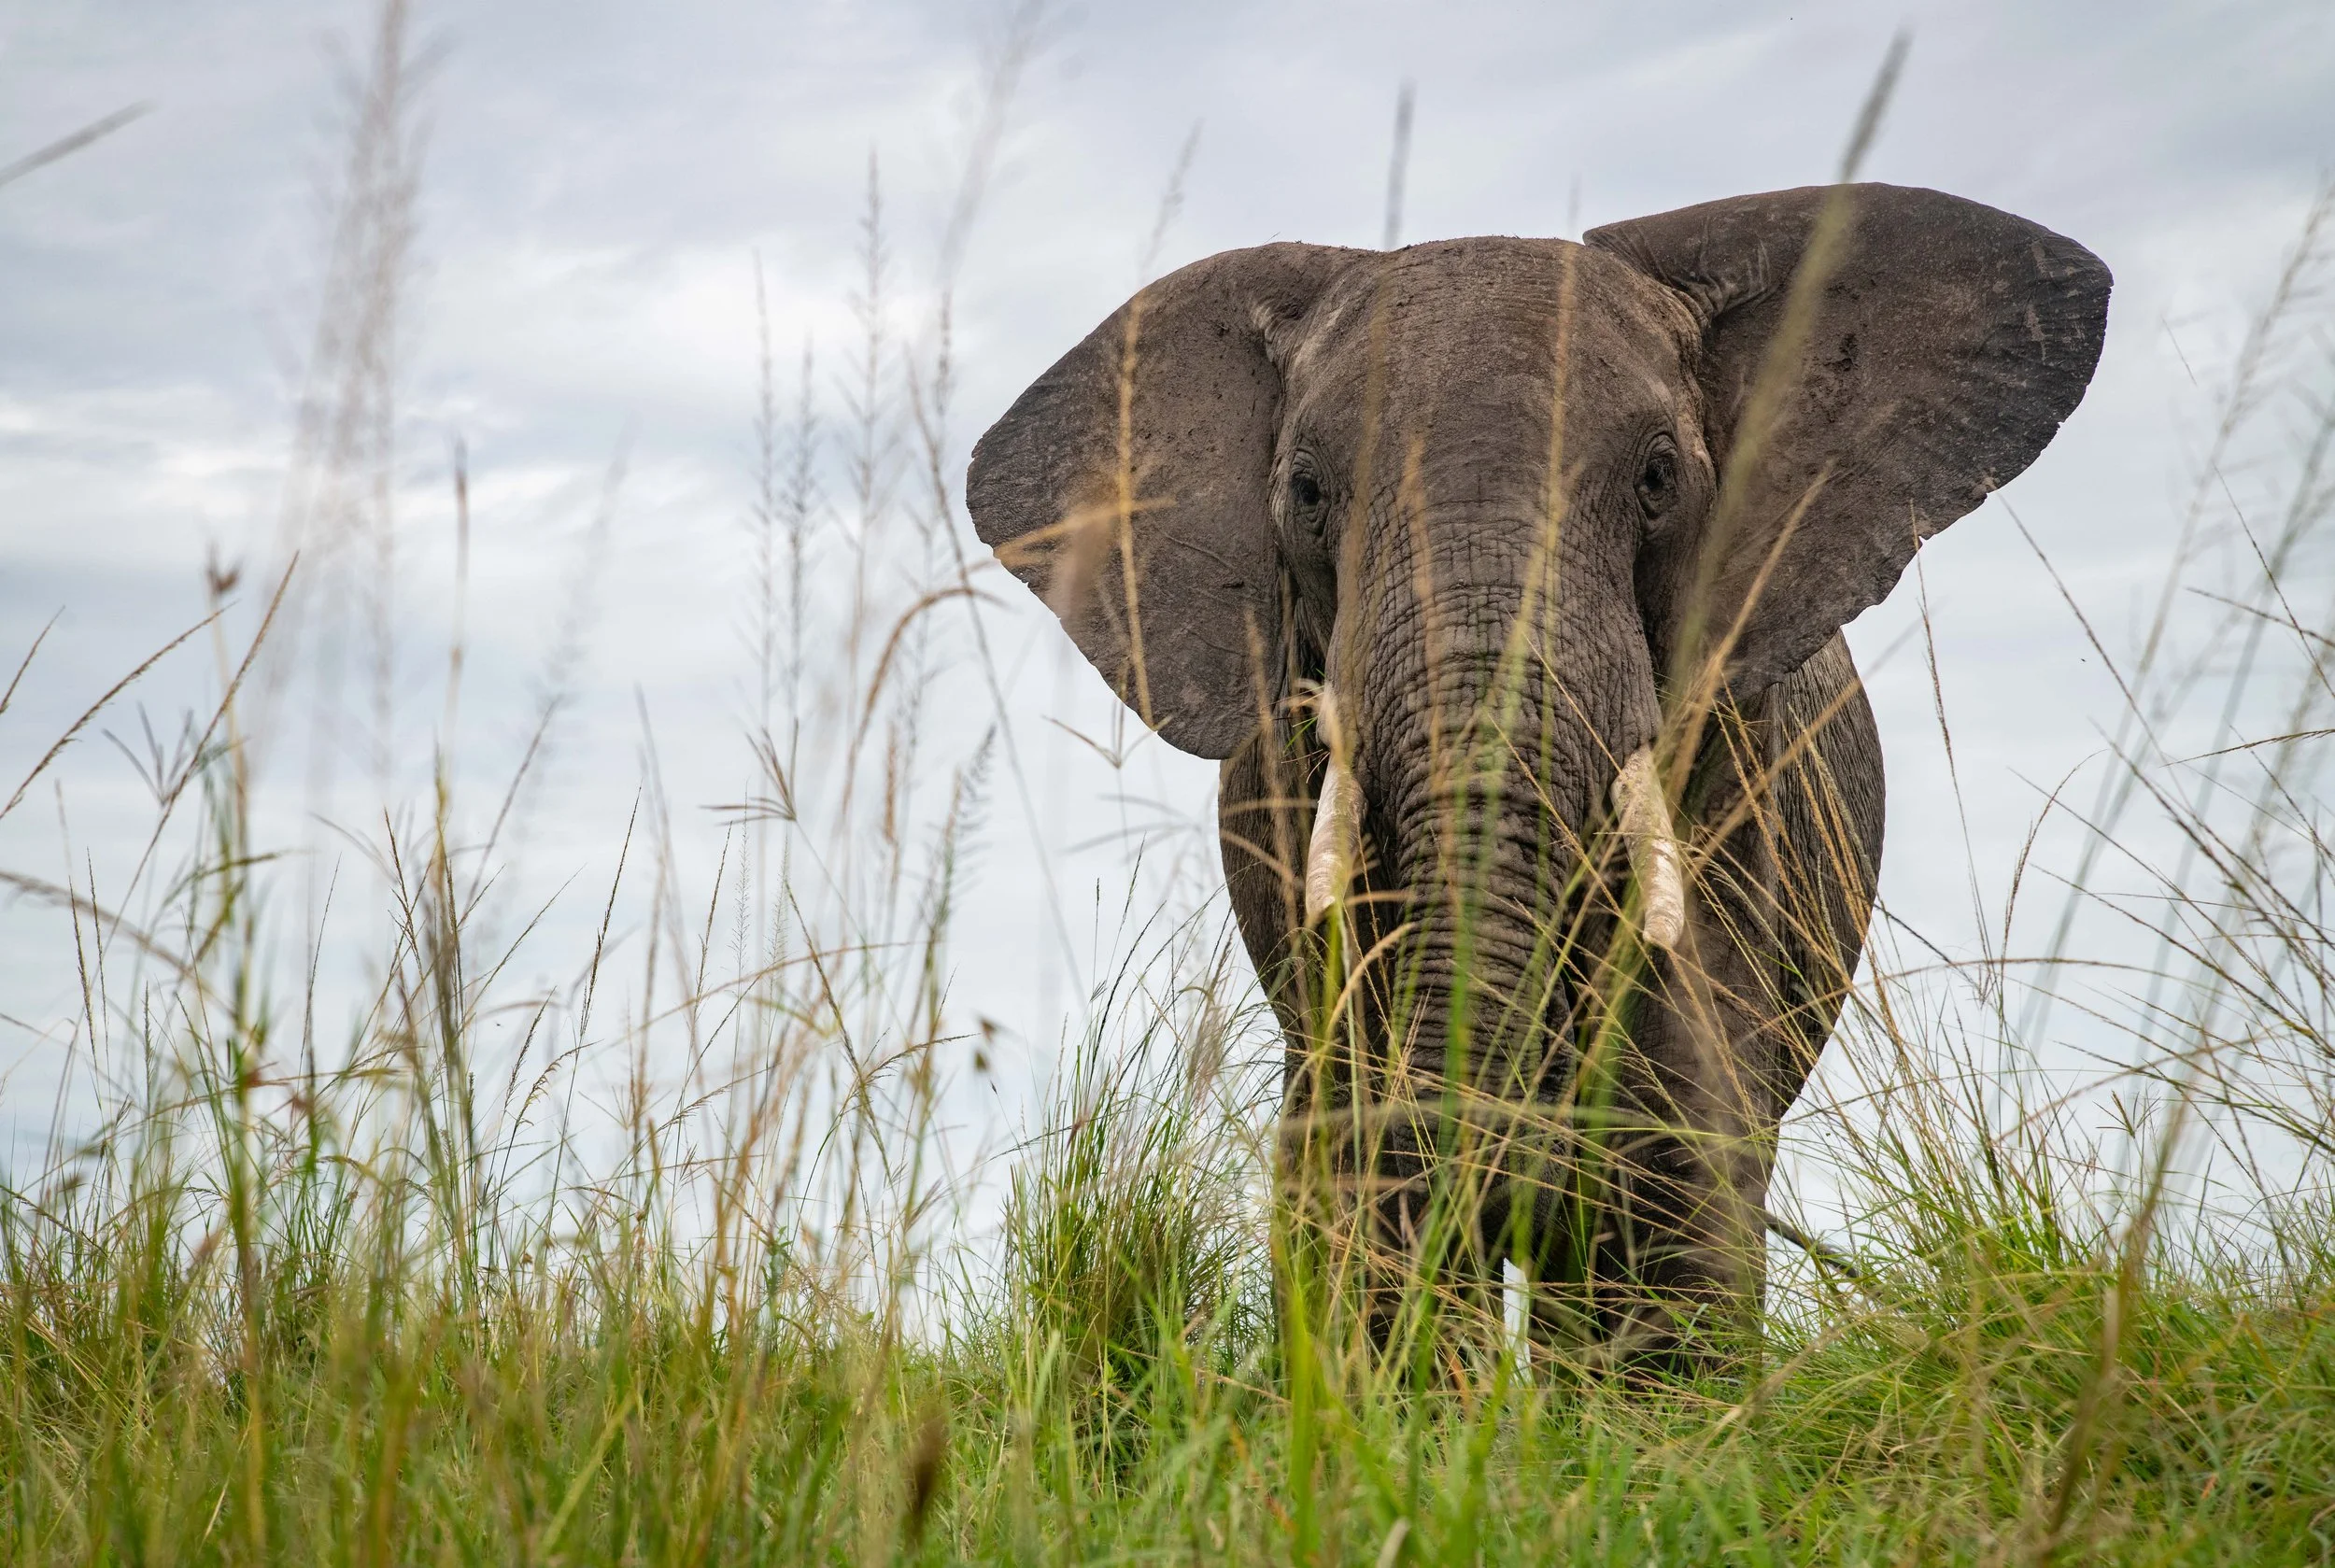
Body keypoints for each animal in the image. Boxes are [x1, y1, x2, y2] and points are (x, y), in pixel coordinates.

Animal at [968, 184, 2110, 1373]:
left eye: (1656, 479)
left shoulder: (1733, 763)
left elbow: (1674, 1166)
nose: (1521, 1171)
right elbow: (1353, 1166)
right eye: (1309, 493)